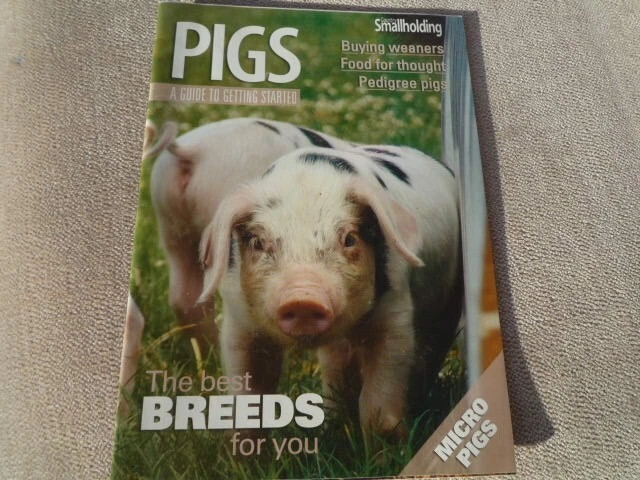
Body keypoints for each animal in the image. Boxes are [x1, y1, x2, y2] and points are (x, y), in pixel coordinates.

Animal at [198, 145, 463, 438]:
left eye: (349, 238)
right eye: (257, 242)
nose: (303, 299)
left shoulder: (395, 313)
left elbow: (378, 407)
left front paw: (388, 445)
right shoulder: (239, 322)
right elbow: (248, 399)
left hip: (449, 305)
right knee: (336, 366)